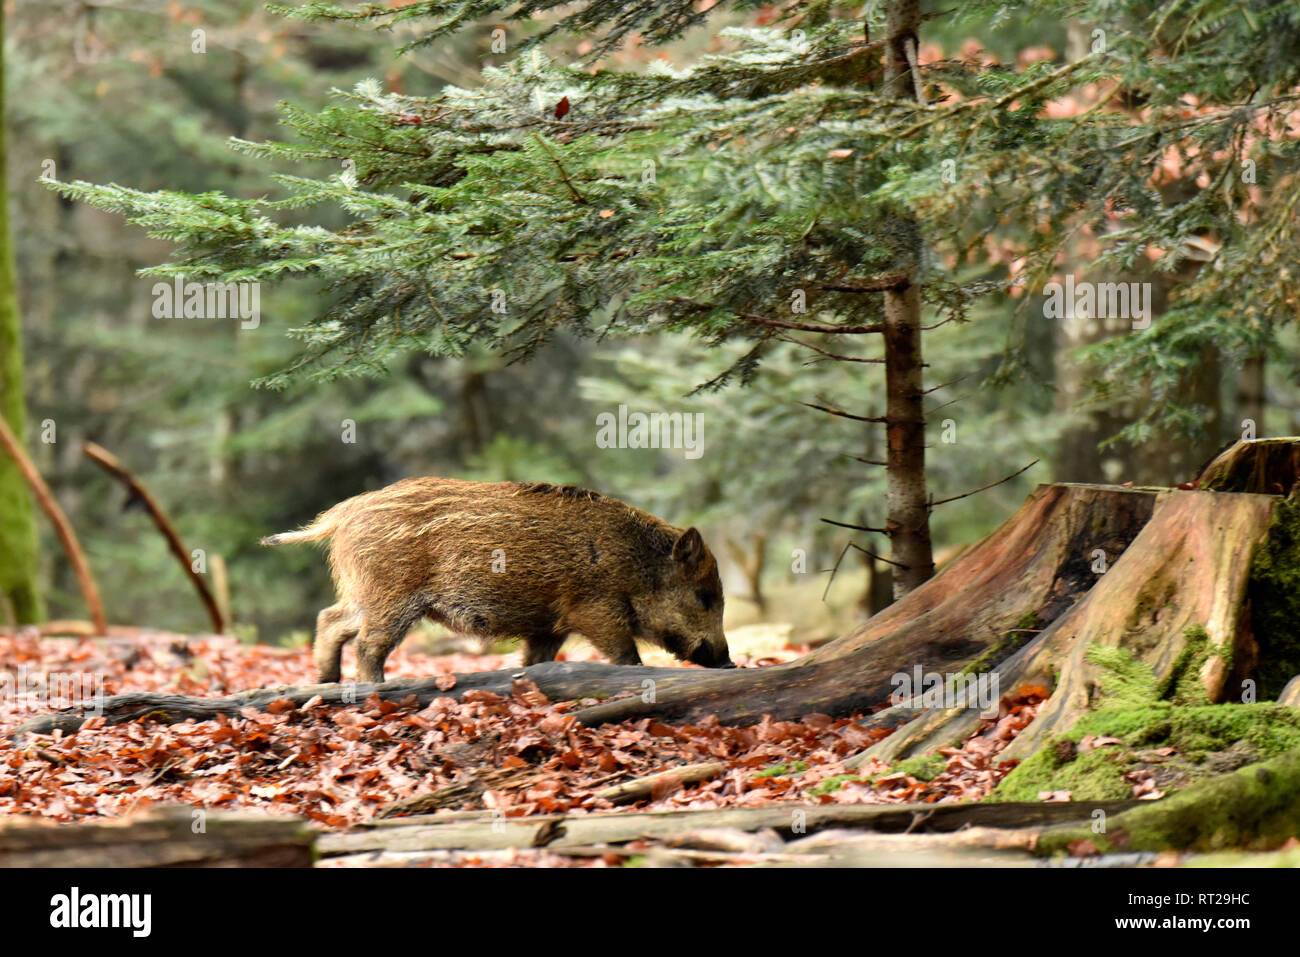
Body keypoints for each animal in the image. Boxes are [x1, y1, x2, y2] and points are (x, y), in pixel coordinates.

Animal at [262, 478, 733, 683]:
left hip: (365, 594)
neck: (635, 564)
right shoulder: (593, 608)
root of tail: (340, 515)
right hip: (392, 597)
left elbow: (536, 659)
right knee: (366, 644)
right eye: (704, 596)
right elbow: (626, 655)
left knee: (329, 620)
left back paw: (326, 683)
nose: (729, 662)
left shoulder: (550, 623)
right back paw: (371, 688)